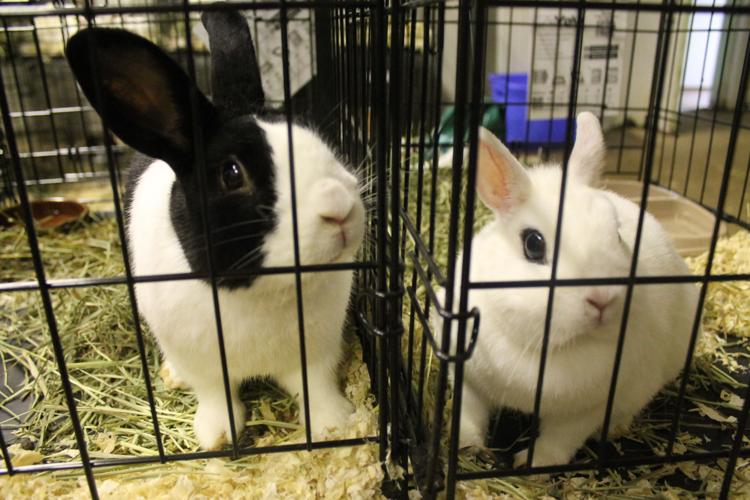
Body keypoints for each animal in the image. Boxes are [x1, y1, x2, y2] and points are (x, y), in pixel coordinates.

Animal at [65, 9, 365, 450]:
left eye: (320, 141)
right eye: (232, 174)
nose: (339, 208)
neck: (265, 290)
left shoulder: (317, 350)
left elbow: (315, 386)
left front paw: (334, 424)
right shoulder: (202, 362)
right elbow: (215, 393)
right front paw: (217, 436)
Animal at [433, 112, 700, 468]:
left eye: (618, 235)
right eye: (534, 244)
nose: (603, 300)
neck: (548, 348)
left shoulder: (586, 409)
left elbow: (558, 442)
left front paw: (531, 464)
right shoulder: (468, 378)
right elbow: (469, 416)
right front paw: (469, 448)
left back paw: (615, 429)